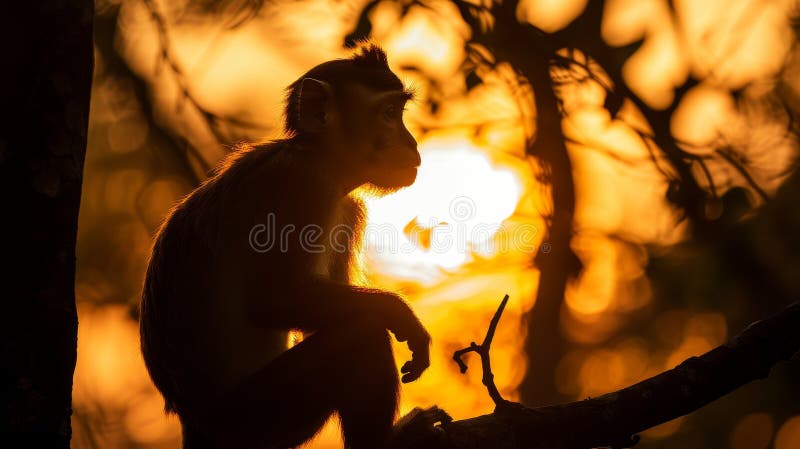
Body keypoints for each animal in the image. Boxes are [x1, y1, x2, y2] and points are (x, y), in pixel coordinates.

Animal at [139, 44, 438, 449]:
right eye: (389, 114)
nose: (411, 143)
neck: (321, 159)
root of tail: (195, 423)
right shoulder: (300, 184)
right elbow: (273, 300)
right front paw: (398, 311)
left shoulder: (348, 209)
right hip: (252, 416)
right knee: (362, 335)